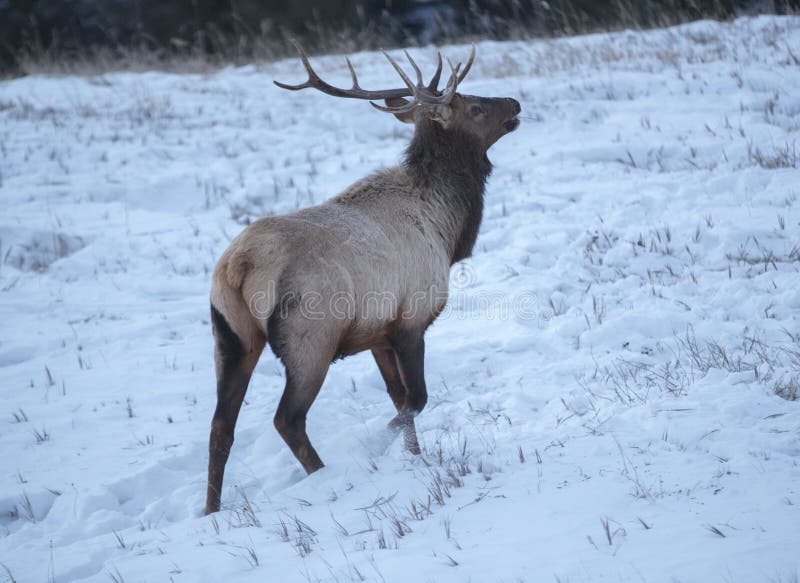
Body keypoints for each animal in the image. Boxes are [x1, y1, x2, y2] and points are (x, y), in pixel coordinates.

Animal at [204, 42, 520, 514]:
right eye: (476, 107)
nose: (515, 103)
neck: (448, 230)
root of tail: (237, 268)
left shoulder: (376, 333)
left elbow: (400, 397)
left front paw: (414, 456)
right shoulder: (411, 319)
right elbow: (415, 399)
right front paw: (382, 446)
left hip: (230, 337)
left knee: (221, 425)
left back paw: (210, 510)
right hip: (309, 338)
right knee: (287, 419)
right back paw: (324, 474)